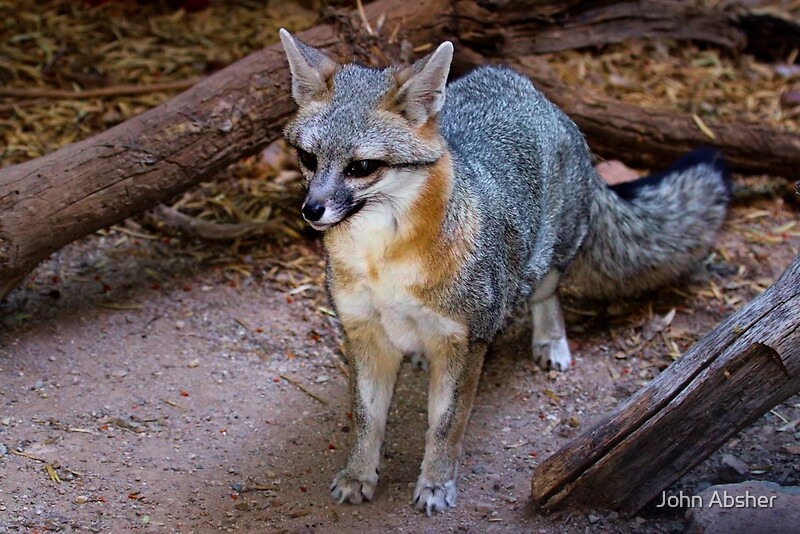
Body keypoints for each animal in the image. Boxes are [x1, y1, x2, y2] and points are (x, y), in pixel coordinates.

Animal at [277, 29, 729, 515]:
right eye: (308, 158)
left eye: (362, 167)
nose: (311, 211)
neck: (383, 262)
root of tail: (529, 90)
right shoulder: (363, 333)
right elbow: (366, 418)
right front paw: (359, 474)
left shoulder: (466, 340)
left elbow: (446, 424)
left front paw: (436, 483)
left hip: (548, 256)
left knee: (545, 293)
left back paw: (551, 341)